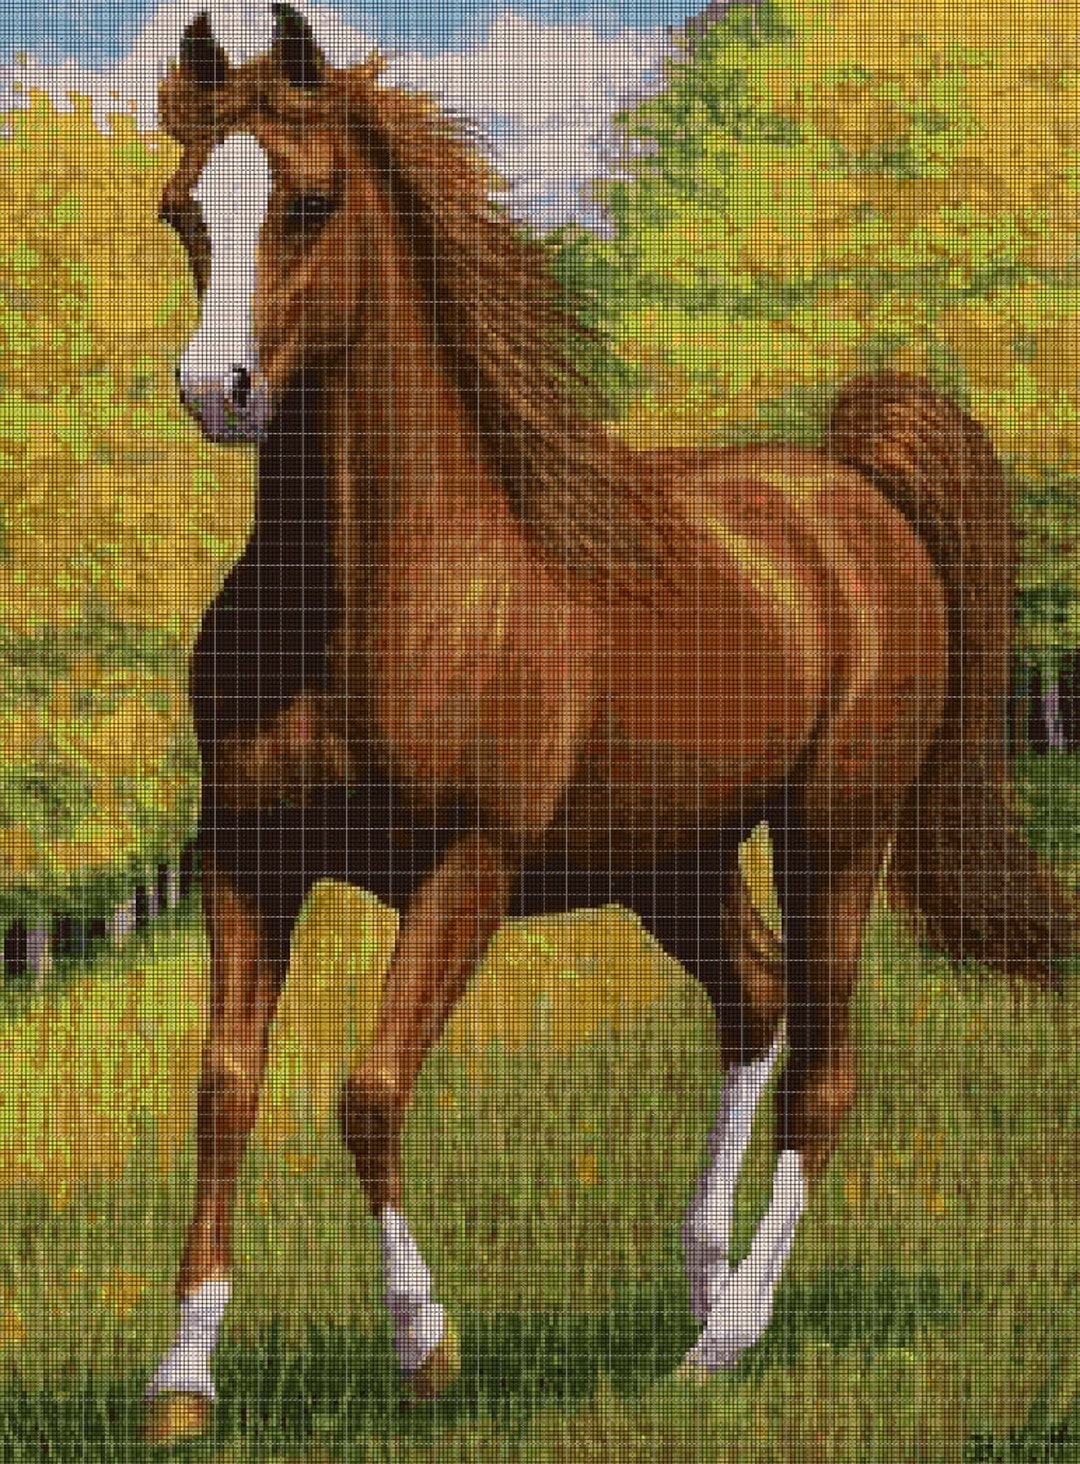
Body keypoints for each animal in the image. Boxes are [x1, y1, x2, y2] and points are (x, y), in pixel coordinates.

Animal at [142, 4, 1075, 1443]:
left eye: (309, 202)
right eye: (185, 210)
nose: (217, 390)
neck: (374, 595)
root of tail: (851, 488)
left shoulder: (469, 866)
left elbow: (367, 1093)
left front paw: (424, 1345)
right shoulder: (248, 860)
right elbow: (224, 1091)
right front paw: (182, 1379)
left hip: (833, 833)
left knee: (823, 1069)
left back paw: (727, 1338)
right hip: (669, 860)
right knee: (755, 1003)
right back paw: (698, 1290)